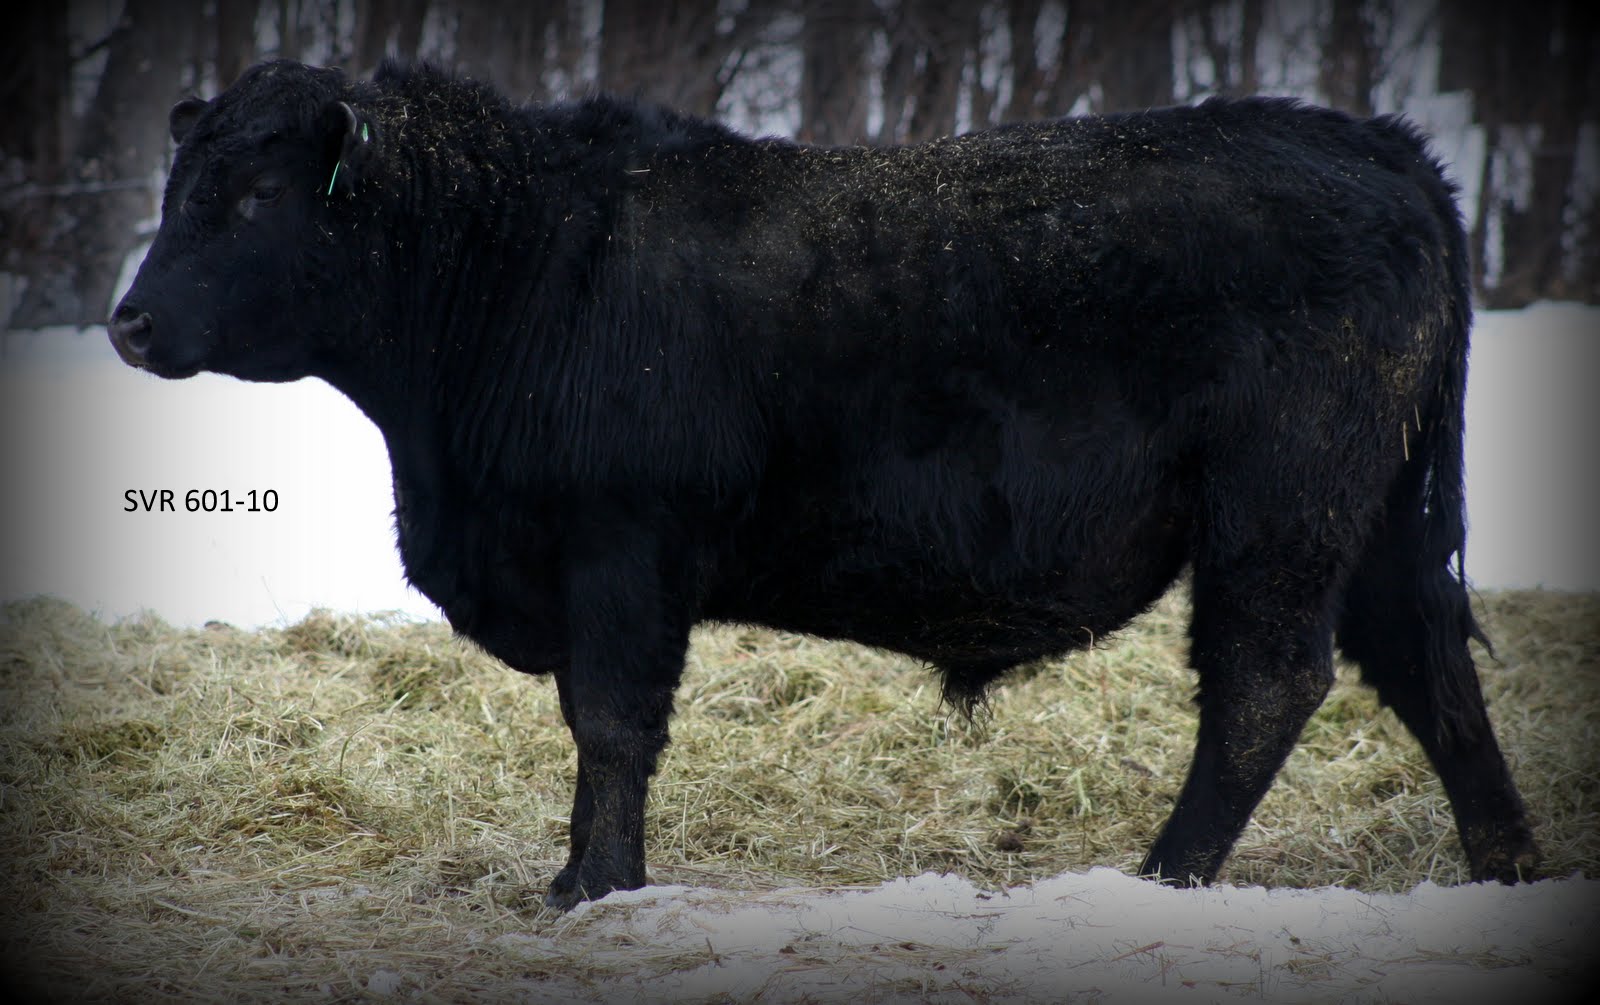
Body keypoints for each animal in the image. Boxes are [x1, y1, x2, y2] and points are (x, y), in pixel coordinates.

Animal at [108, 59, 1538, 910]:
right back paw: (1505, 865)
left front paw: (595, 888)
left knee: (1264, 686)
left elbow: (610, 724)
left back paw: (1163, 877)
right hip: (1378, 524)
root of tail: (1375, 142)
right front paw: (580, 876)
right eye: (178, 184)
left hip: (1278, 515)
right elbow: (596, 727)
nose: (128, 324)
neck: (521, 261)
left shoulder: (619, 552)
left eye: (249, 198)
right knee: (1427, 665)